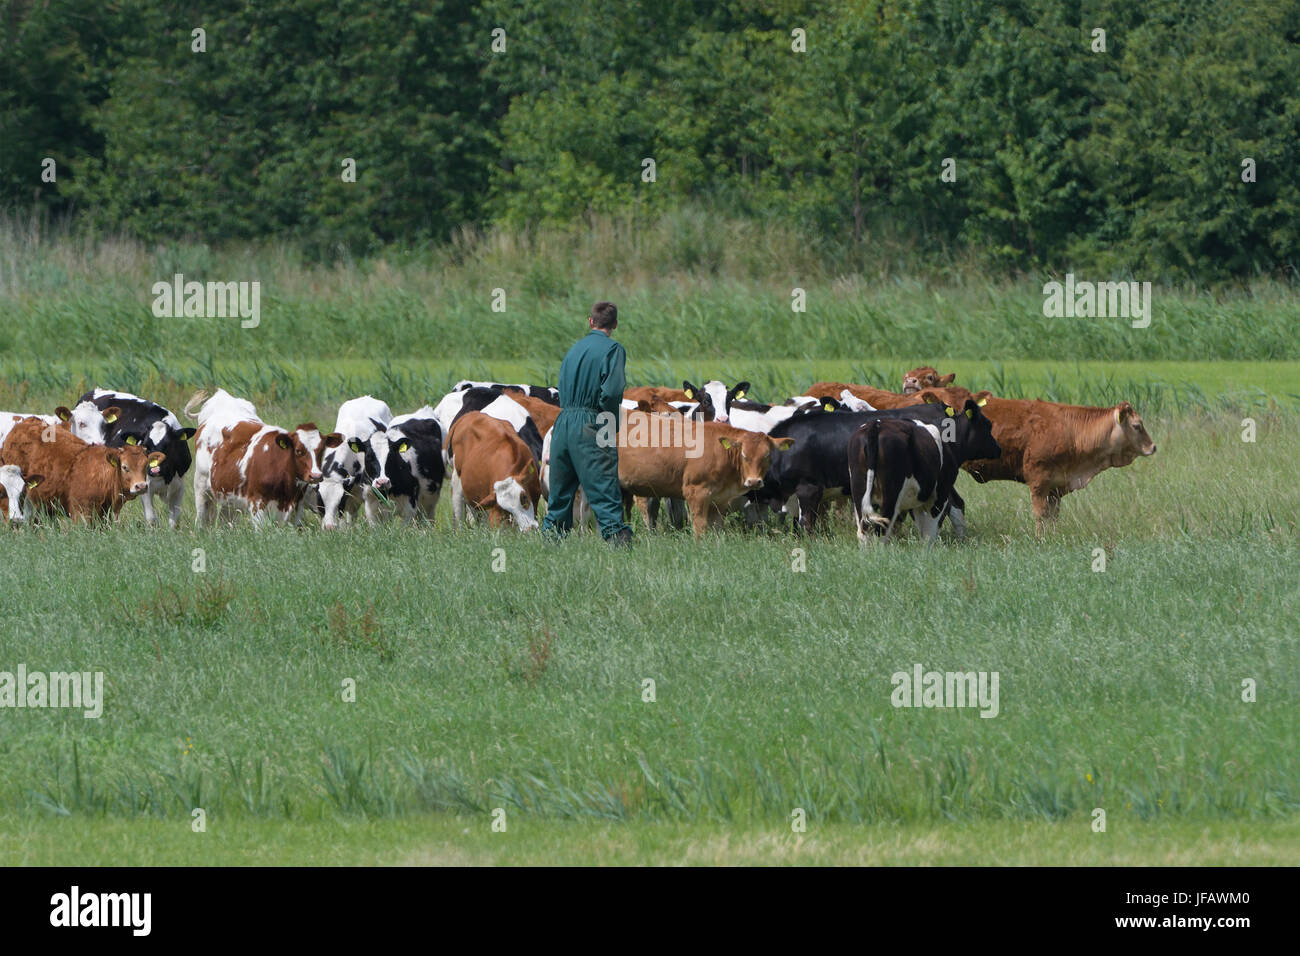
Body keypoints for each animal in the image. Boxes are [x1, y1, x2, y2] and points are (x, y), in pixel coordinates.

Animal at [79, 388, 195, 528]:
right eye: (146, 446)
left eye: (169, 445)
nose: (154, 469)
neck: (166, 475)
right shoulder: (145, 486)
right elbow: (151, 519)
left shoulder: (179, 485)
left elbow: (174, 520)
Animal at [190, 389, 338, 527]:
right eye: (298, 451)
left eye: (322, 450)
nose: (316, 475)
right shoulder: (257, 504)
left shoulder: (296, 508)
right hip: (201, 484)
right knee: (201, 517)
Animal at [616, 409, 794, 538]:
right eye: (744, 455)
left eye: (767, 455)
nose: (754, 481)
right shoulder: (696, 493)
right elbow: (700, 527)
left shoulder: (720, 499)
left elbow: (717, 528)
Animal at [848, 399, 1000, 543]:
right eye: (988, 425)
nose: (998, 448)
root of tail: (876, 426)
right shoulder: (940, 494)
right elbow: (930, 532)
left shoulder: (917, 501)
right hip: (891, 493)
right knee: (881, 530)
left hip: (859, 492)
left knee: (864, 531)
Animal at [963, 397, 1158, 532]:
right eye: (1137, 426)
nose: (1153, 447)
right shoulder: (1038, 483)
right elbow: (1041, 515)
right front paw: (1040, 540)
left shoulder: (1056, 488)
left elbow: (1053, 516)